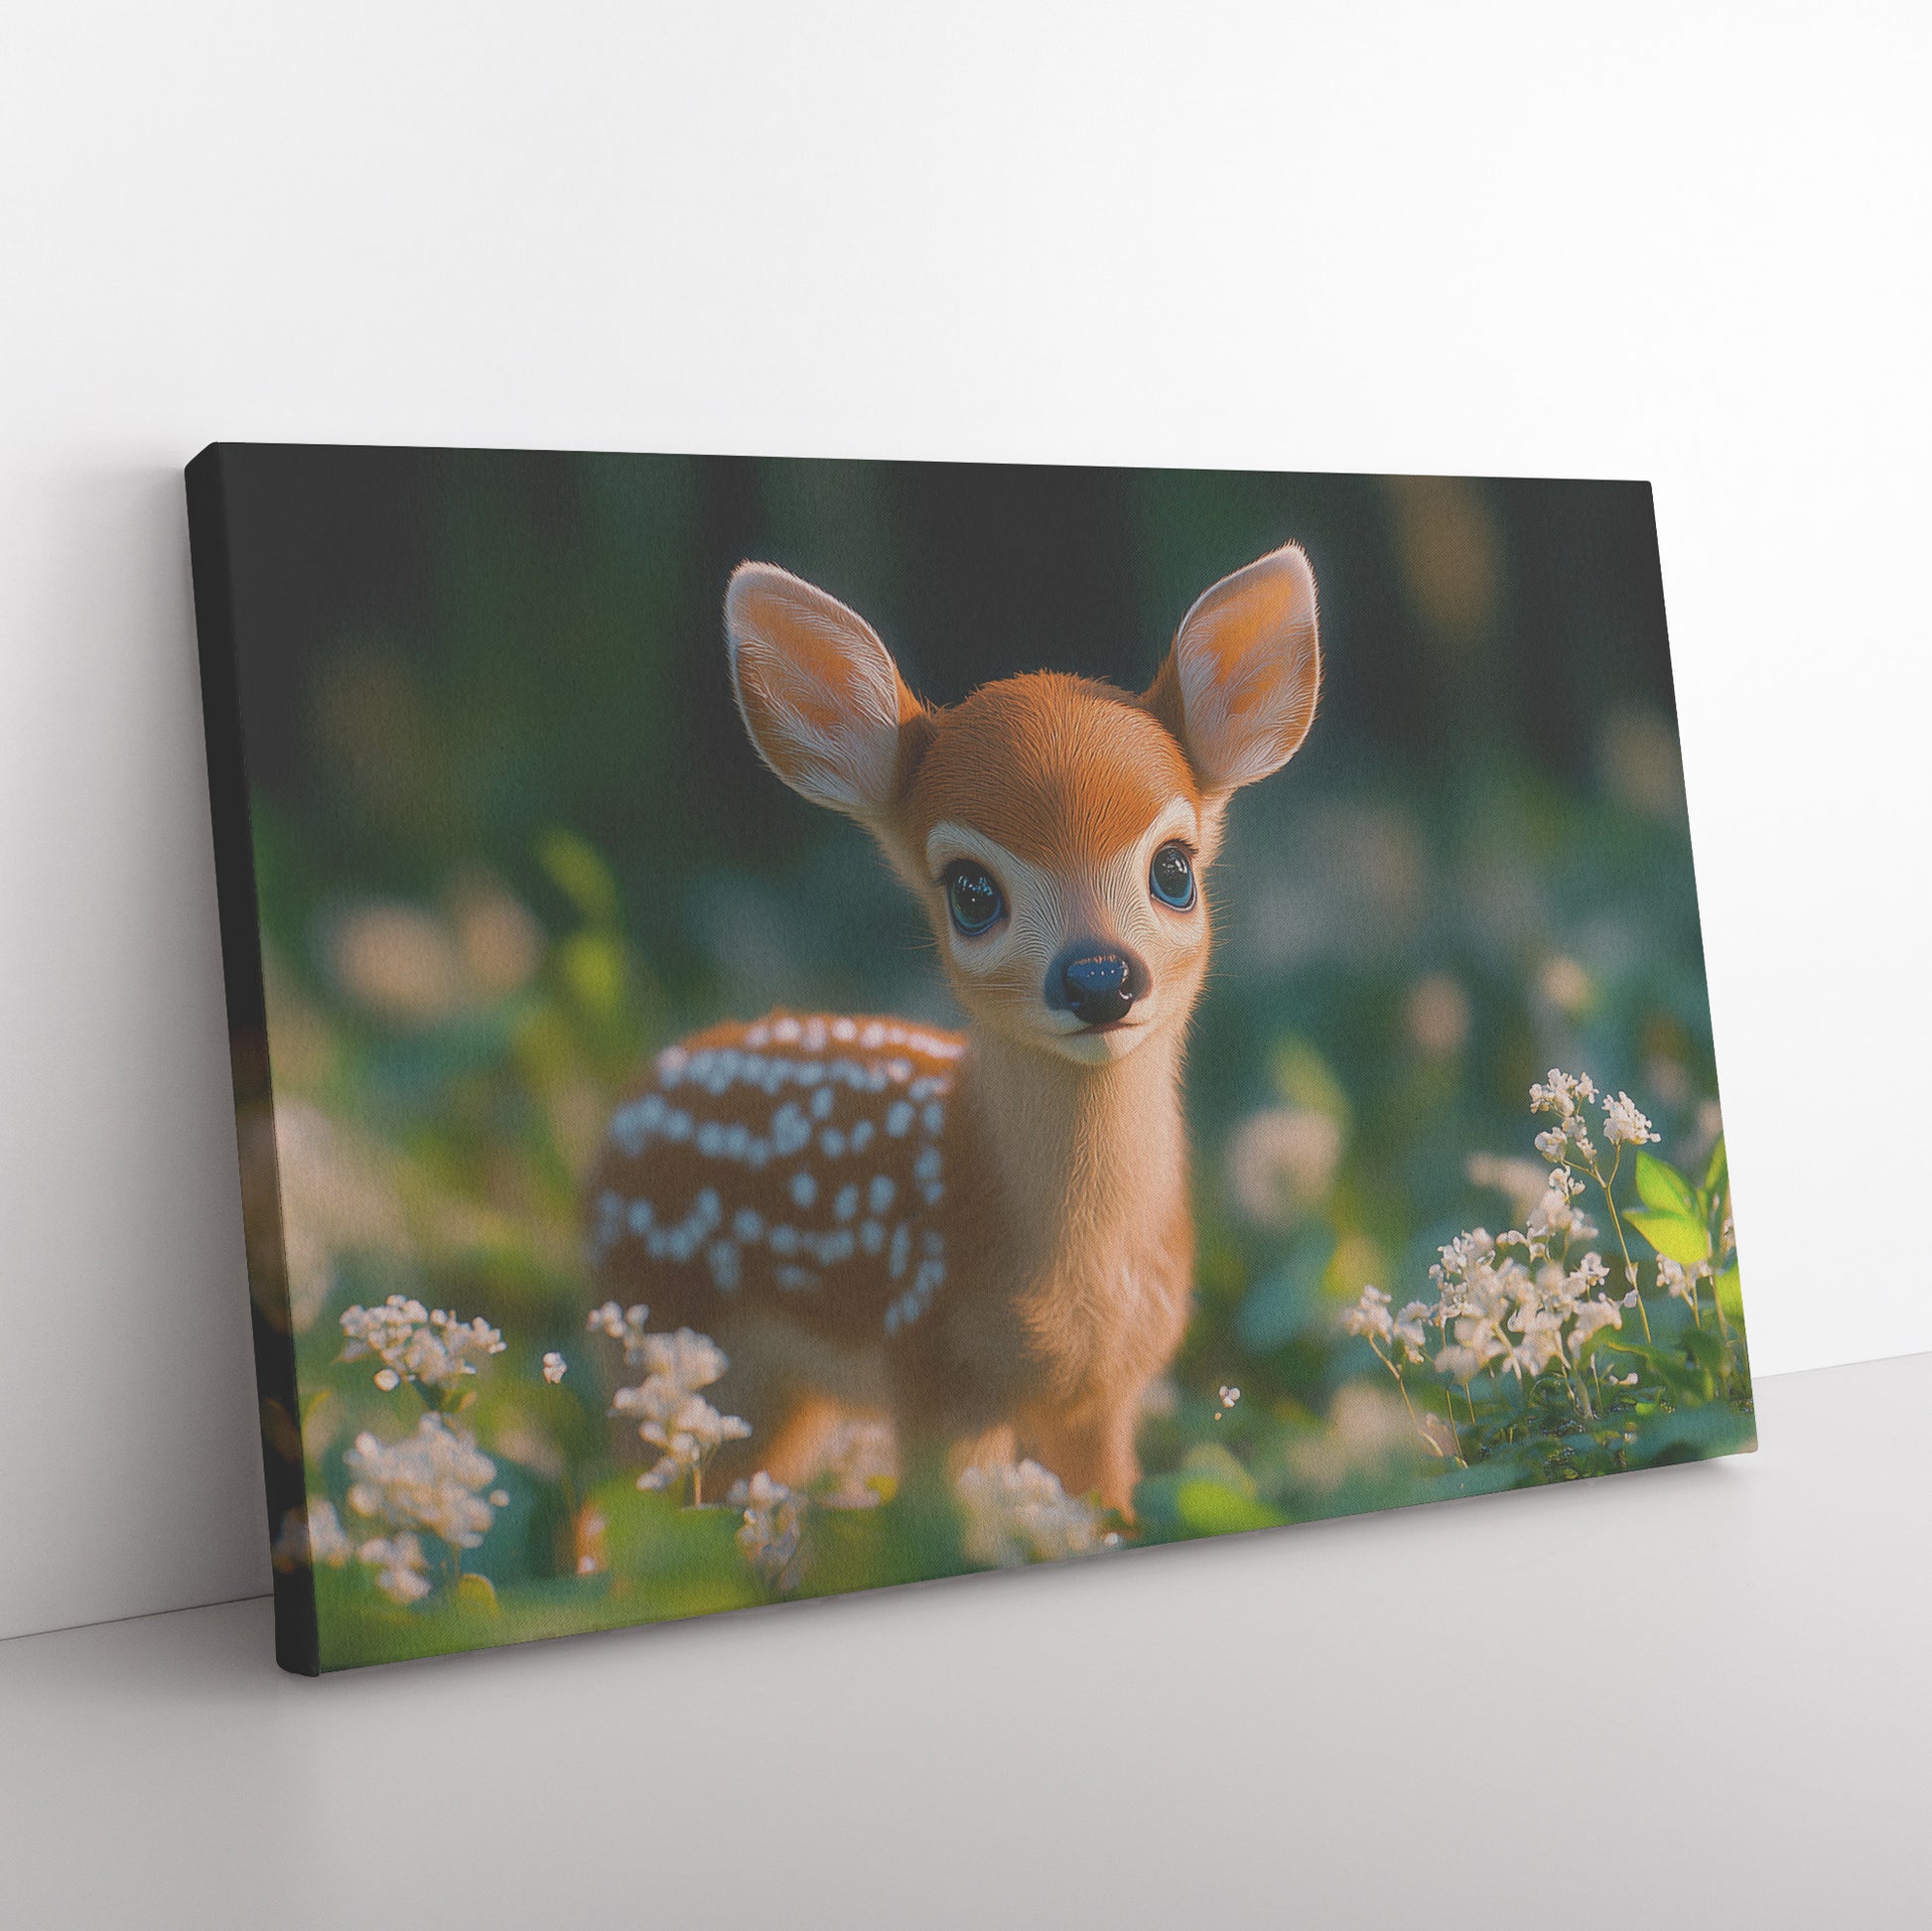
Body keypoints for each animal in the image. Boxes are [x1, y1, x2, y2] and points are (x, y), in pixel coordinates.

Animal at [585, 542, 1320, 1516]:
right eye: (972, 890)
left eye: (1173, 868)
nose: (1099, 978)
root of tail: (620, 1117)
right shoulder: (931, 1360)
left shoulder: (1105, 1392)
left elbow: (1108, 1511)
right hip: (659, 1341)